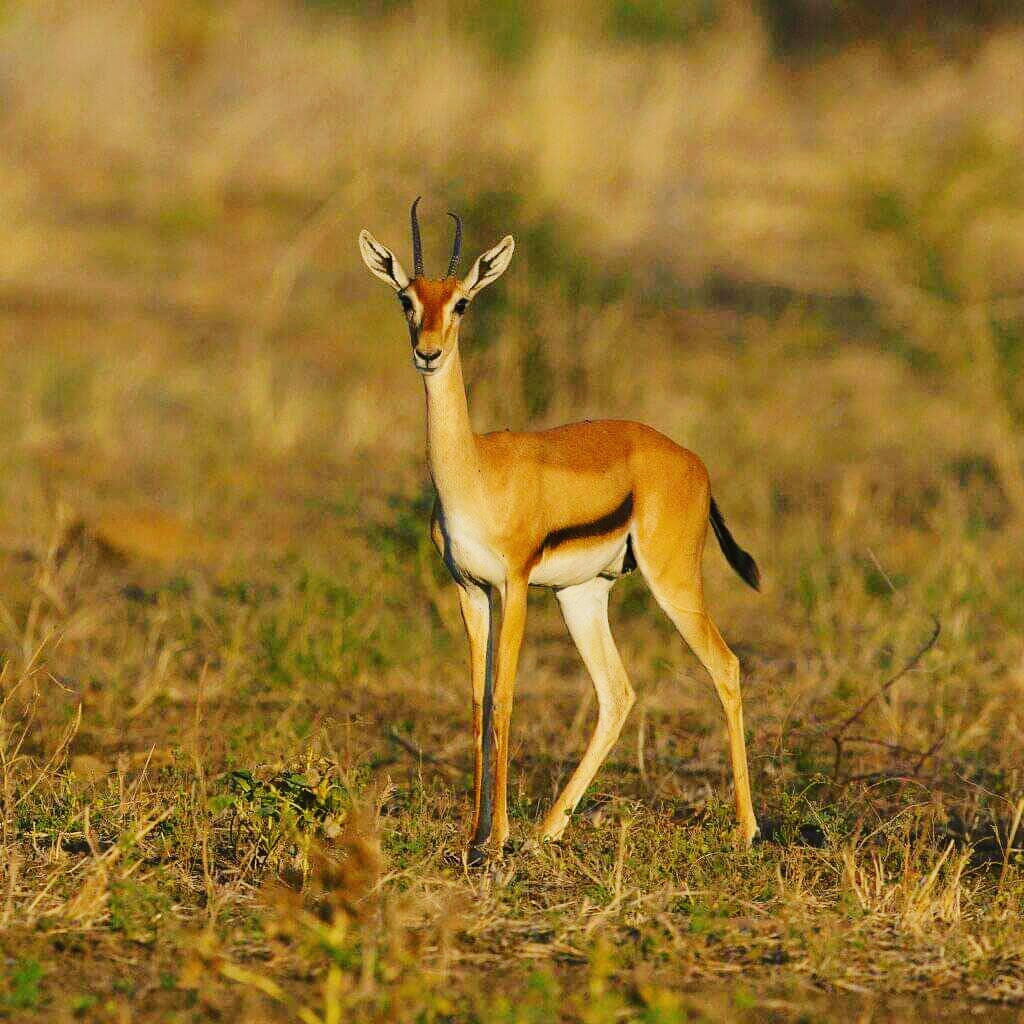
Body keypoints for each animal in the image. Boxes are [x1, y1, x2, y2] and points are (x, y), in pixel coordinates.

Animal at [359, 199, 761, 864]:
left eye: (461, 302)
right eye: (406, 299)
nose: (428, 352)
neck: (475, 471)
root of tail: (691, 460)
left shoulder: (515, 587)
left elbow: (504, 700)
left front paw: (494, 838)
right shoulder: (469, 590)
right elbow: (477, 702)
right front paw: (473, 837)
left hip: (672, 582)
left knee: (725, 667)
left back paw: (748, 830)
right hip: (583, 595)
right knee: (618, 692)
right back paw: (548, 829)